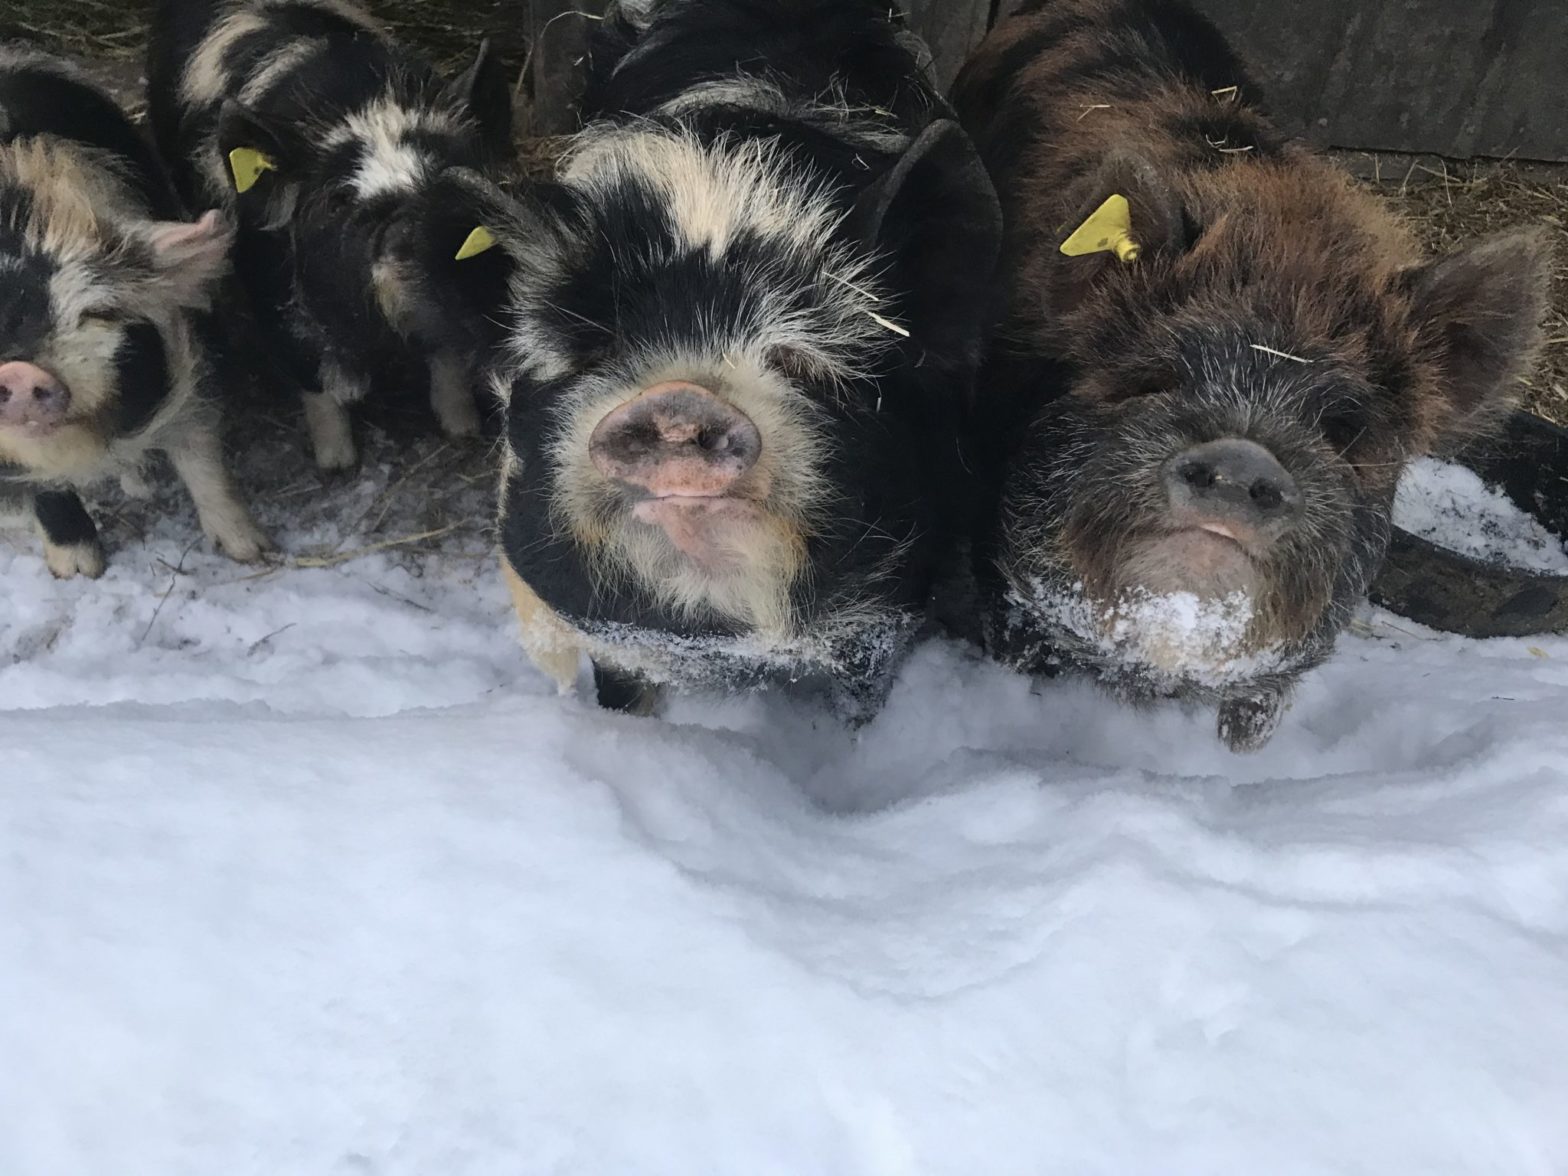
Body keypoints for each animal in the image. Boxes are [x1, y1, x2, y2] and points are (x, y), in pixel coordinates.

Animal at [1, 37, 266, 578]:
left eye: (95, 312)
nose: (18, 370)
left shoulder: (192, 358)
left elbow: (200, 453)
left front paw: (251, 551)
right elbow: (45, 494)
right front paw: (79, 572)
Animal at [145, 0, 514, 471]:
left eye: (448, 182)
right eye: (339, 201)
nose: (412, 240)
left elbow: (446, 355)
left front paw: (463, 431)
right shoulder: (272, 290)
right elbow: (311, 371)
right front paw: (338, 465)